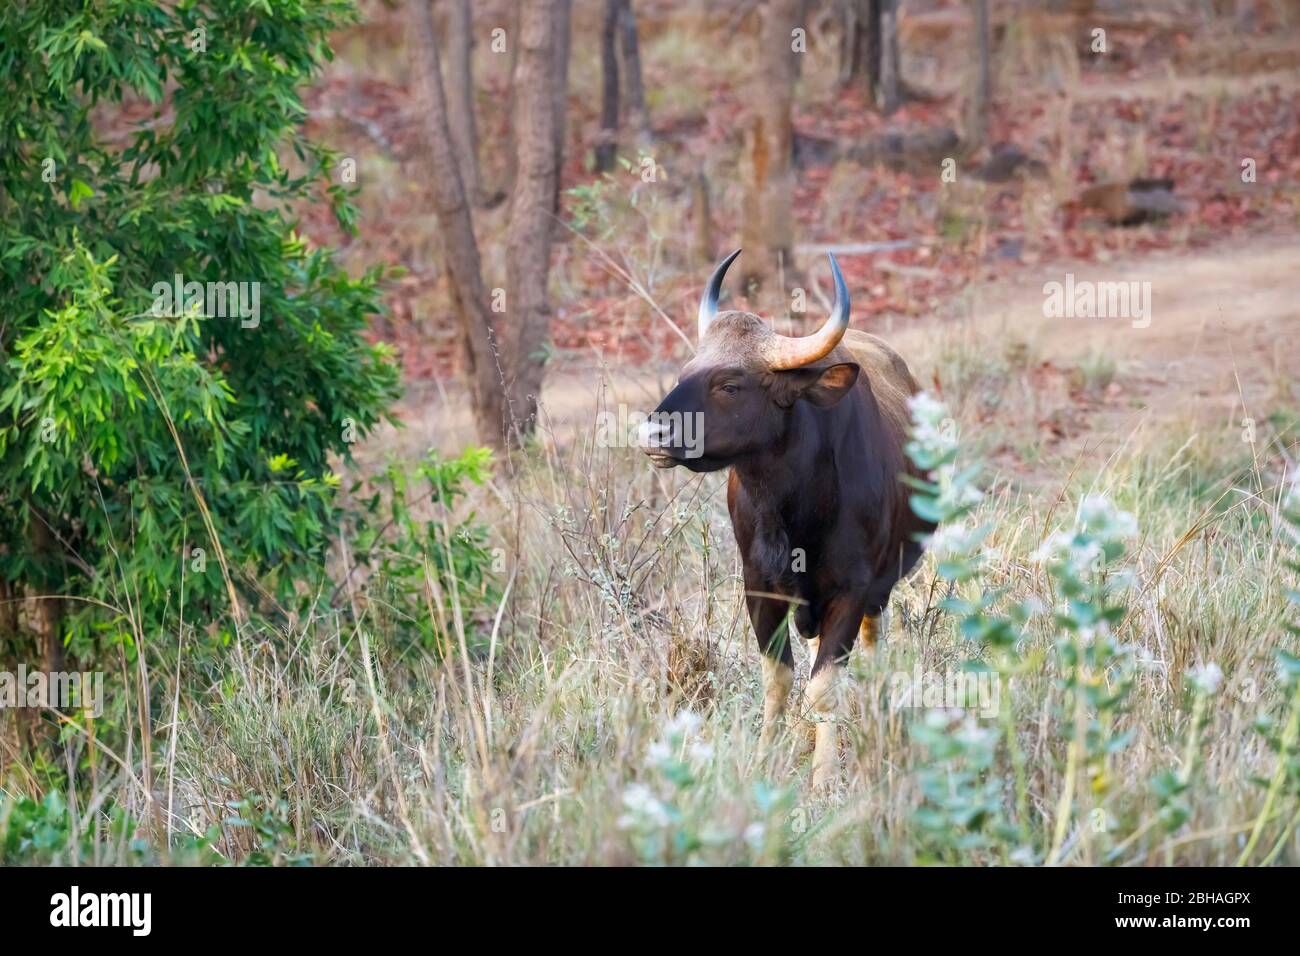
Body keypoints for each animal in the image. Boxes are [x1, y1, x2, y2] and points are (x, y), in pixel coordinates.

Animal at [639, 250, 932, 788]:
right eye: (686, 371)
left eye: (730, 384)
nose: (654, 434)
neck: (796, 512)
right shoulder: (759, 587)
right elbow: (777, 678)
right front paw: (763, 760)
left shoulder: (852, 590)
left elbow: (823, 687)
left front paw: (823, 779)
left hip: (880, 588)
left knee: (873, 644)